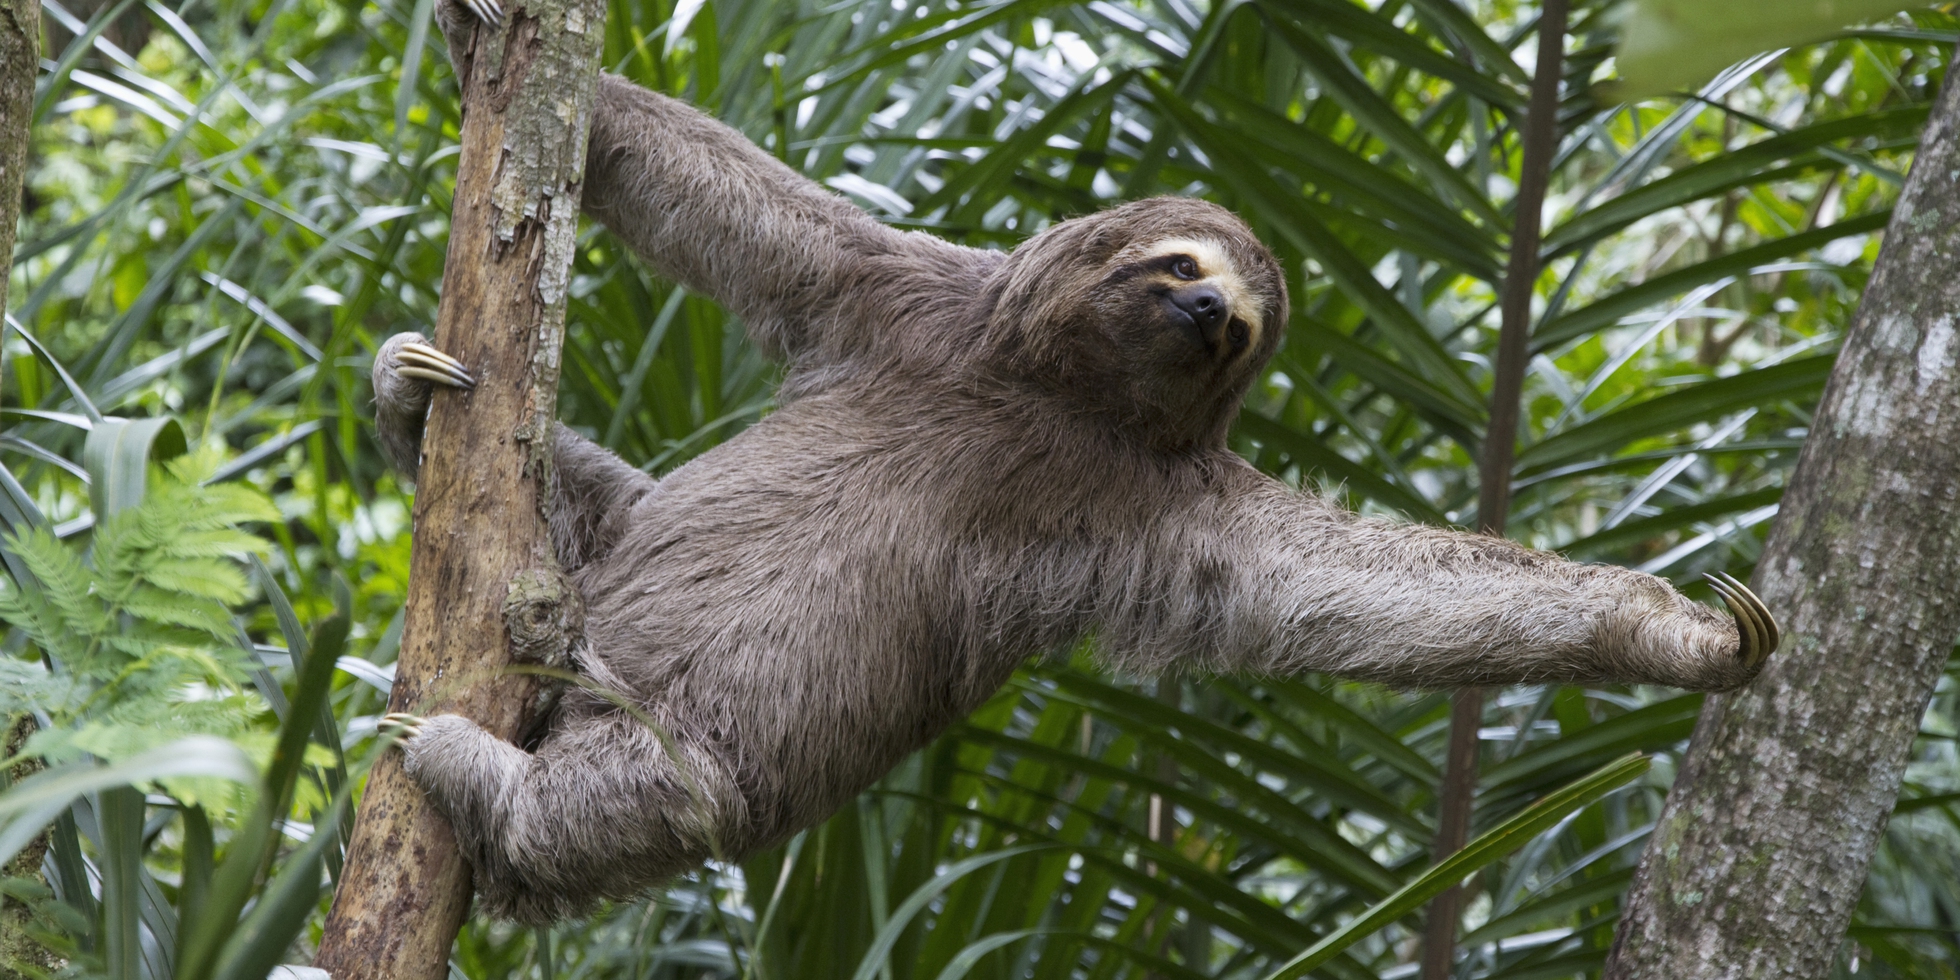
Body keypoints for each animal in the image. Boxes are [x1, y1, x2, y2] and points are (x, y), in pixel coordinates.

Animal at [370, 0, 1778, 925]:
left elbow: (1376, 588)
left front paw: (1676, 630)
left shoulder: (1161, 508)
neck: (1044, 395)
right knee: (595, 507)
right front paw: (474, 22)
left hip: (665, 759)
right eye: (1181, 265)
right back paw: (410, 397)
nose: (1209, 312)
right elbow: (703, 187)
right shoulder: (901, 294)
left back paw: (474, 769)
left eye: (1242, 324)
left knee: (639, 798)